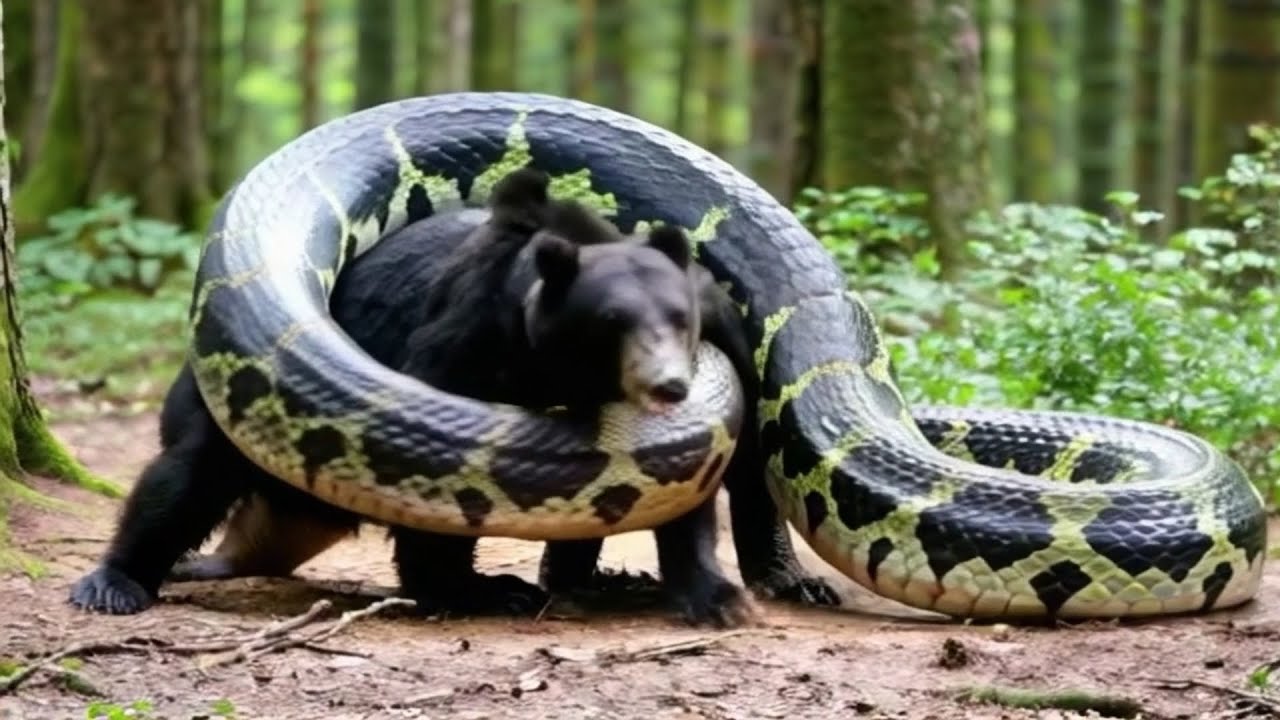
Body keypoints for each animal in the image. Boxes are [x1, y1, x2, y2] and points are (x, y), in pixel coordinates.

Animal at [68, 166, 791, 626]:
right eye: (613, 322)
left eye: (679, 318)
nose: (670, 384)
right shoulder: (461, 341)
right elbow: (434, 491)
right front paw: (472, 589)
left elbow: (691, 494)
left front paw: (718, 598)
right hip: (225, 411)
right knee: (183, 478)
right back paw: (117, 581)